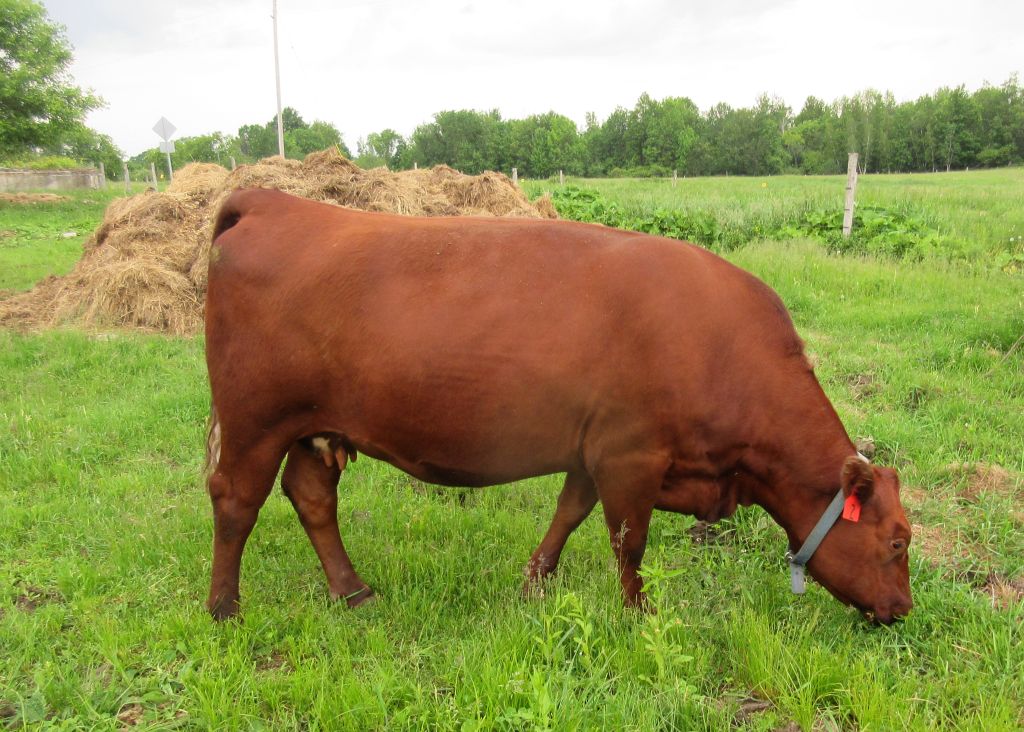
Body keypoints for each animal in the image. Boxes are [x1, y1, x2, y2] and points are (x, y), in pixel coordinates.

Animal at [203, 188, 913, 624]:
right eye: (899, 541)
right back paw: (225, 608)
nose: (904, 610)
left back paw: (353, 592)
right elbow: (629, 542)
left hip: (314, 427)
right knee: (236, 500)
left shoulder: (593, 447)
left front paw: (534, 581)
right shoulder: (632, 454)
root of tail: (270, 199)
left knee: (312, 497)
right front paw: (639, 615)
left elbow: (569, 513)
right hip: (254, 421)